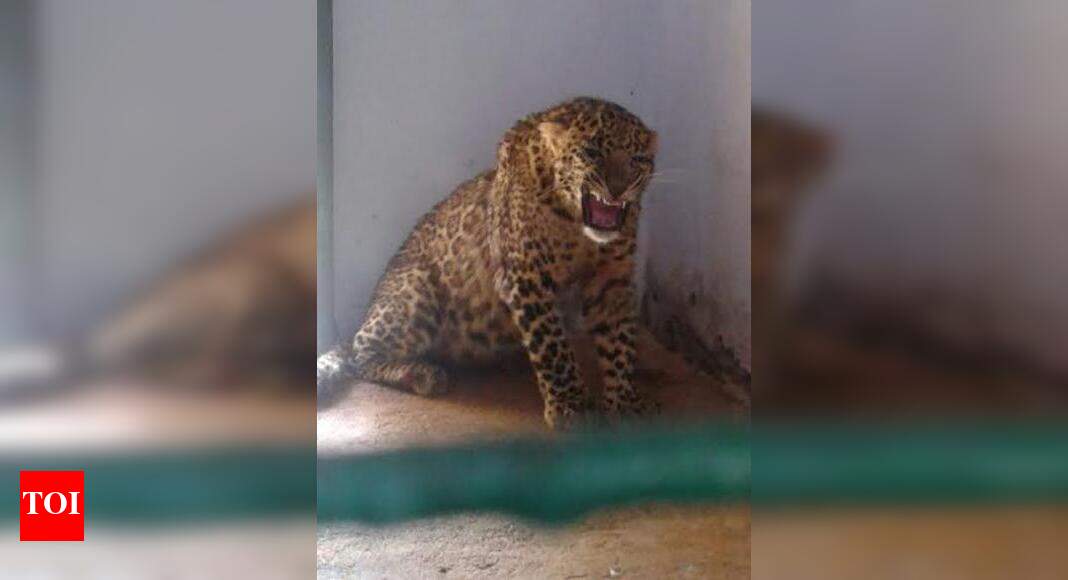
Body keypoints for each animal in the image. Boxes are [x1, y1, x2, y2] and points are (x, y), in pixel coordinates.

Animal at [318, 97, 660, 430]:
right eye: (592, 152)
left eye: (637, 159)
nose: (618, 189)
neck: (577, 226)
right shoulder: (526, 275)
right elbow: (553, 346)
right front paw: (570, 406)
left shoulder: (612, 279)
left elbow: (619, 341)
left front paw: (624, 402)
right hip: (416, 292)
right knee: (360, 355)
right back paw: (422, 374)